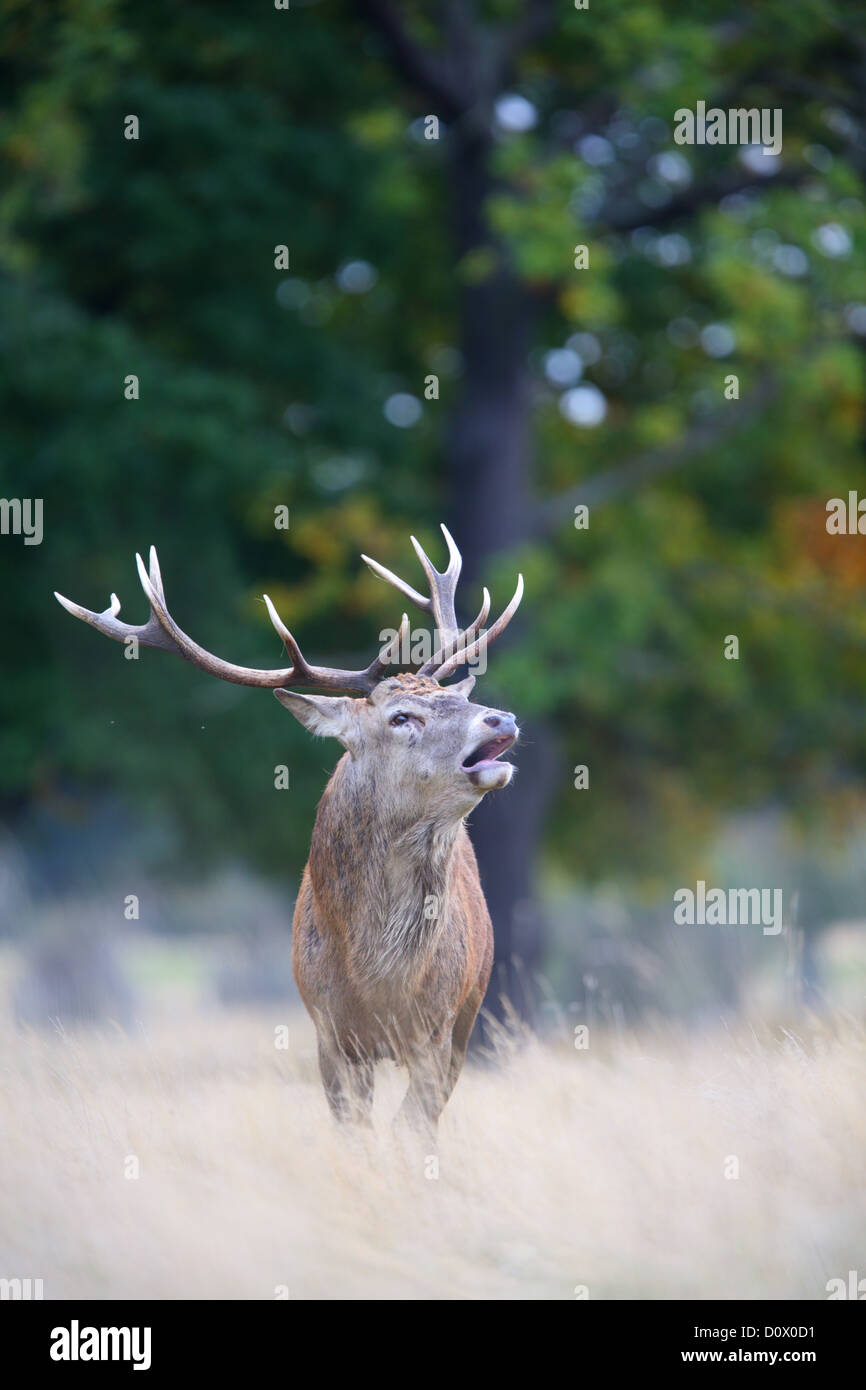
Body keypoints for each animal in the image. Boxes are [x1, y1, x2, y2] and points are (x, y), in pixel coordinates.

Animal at [55, 525, 522, 1134]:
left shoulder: (438, 1029)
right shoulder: (329, 1033)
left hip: (469, 1016)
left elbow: (409, 1133)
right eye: (400, 717)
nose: (501, 717)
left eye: (455, 698)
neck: (379, 981)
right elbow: (357, 1135)